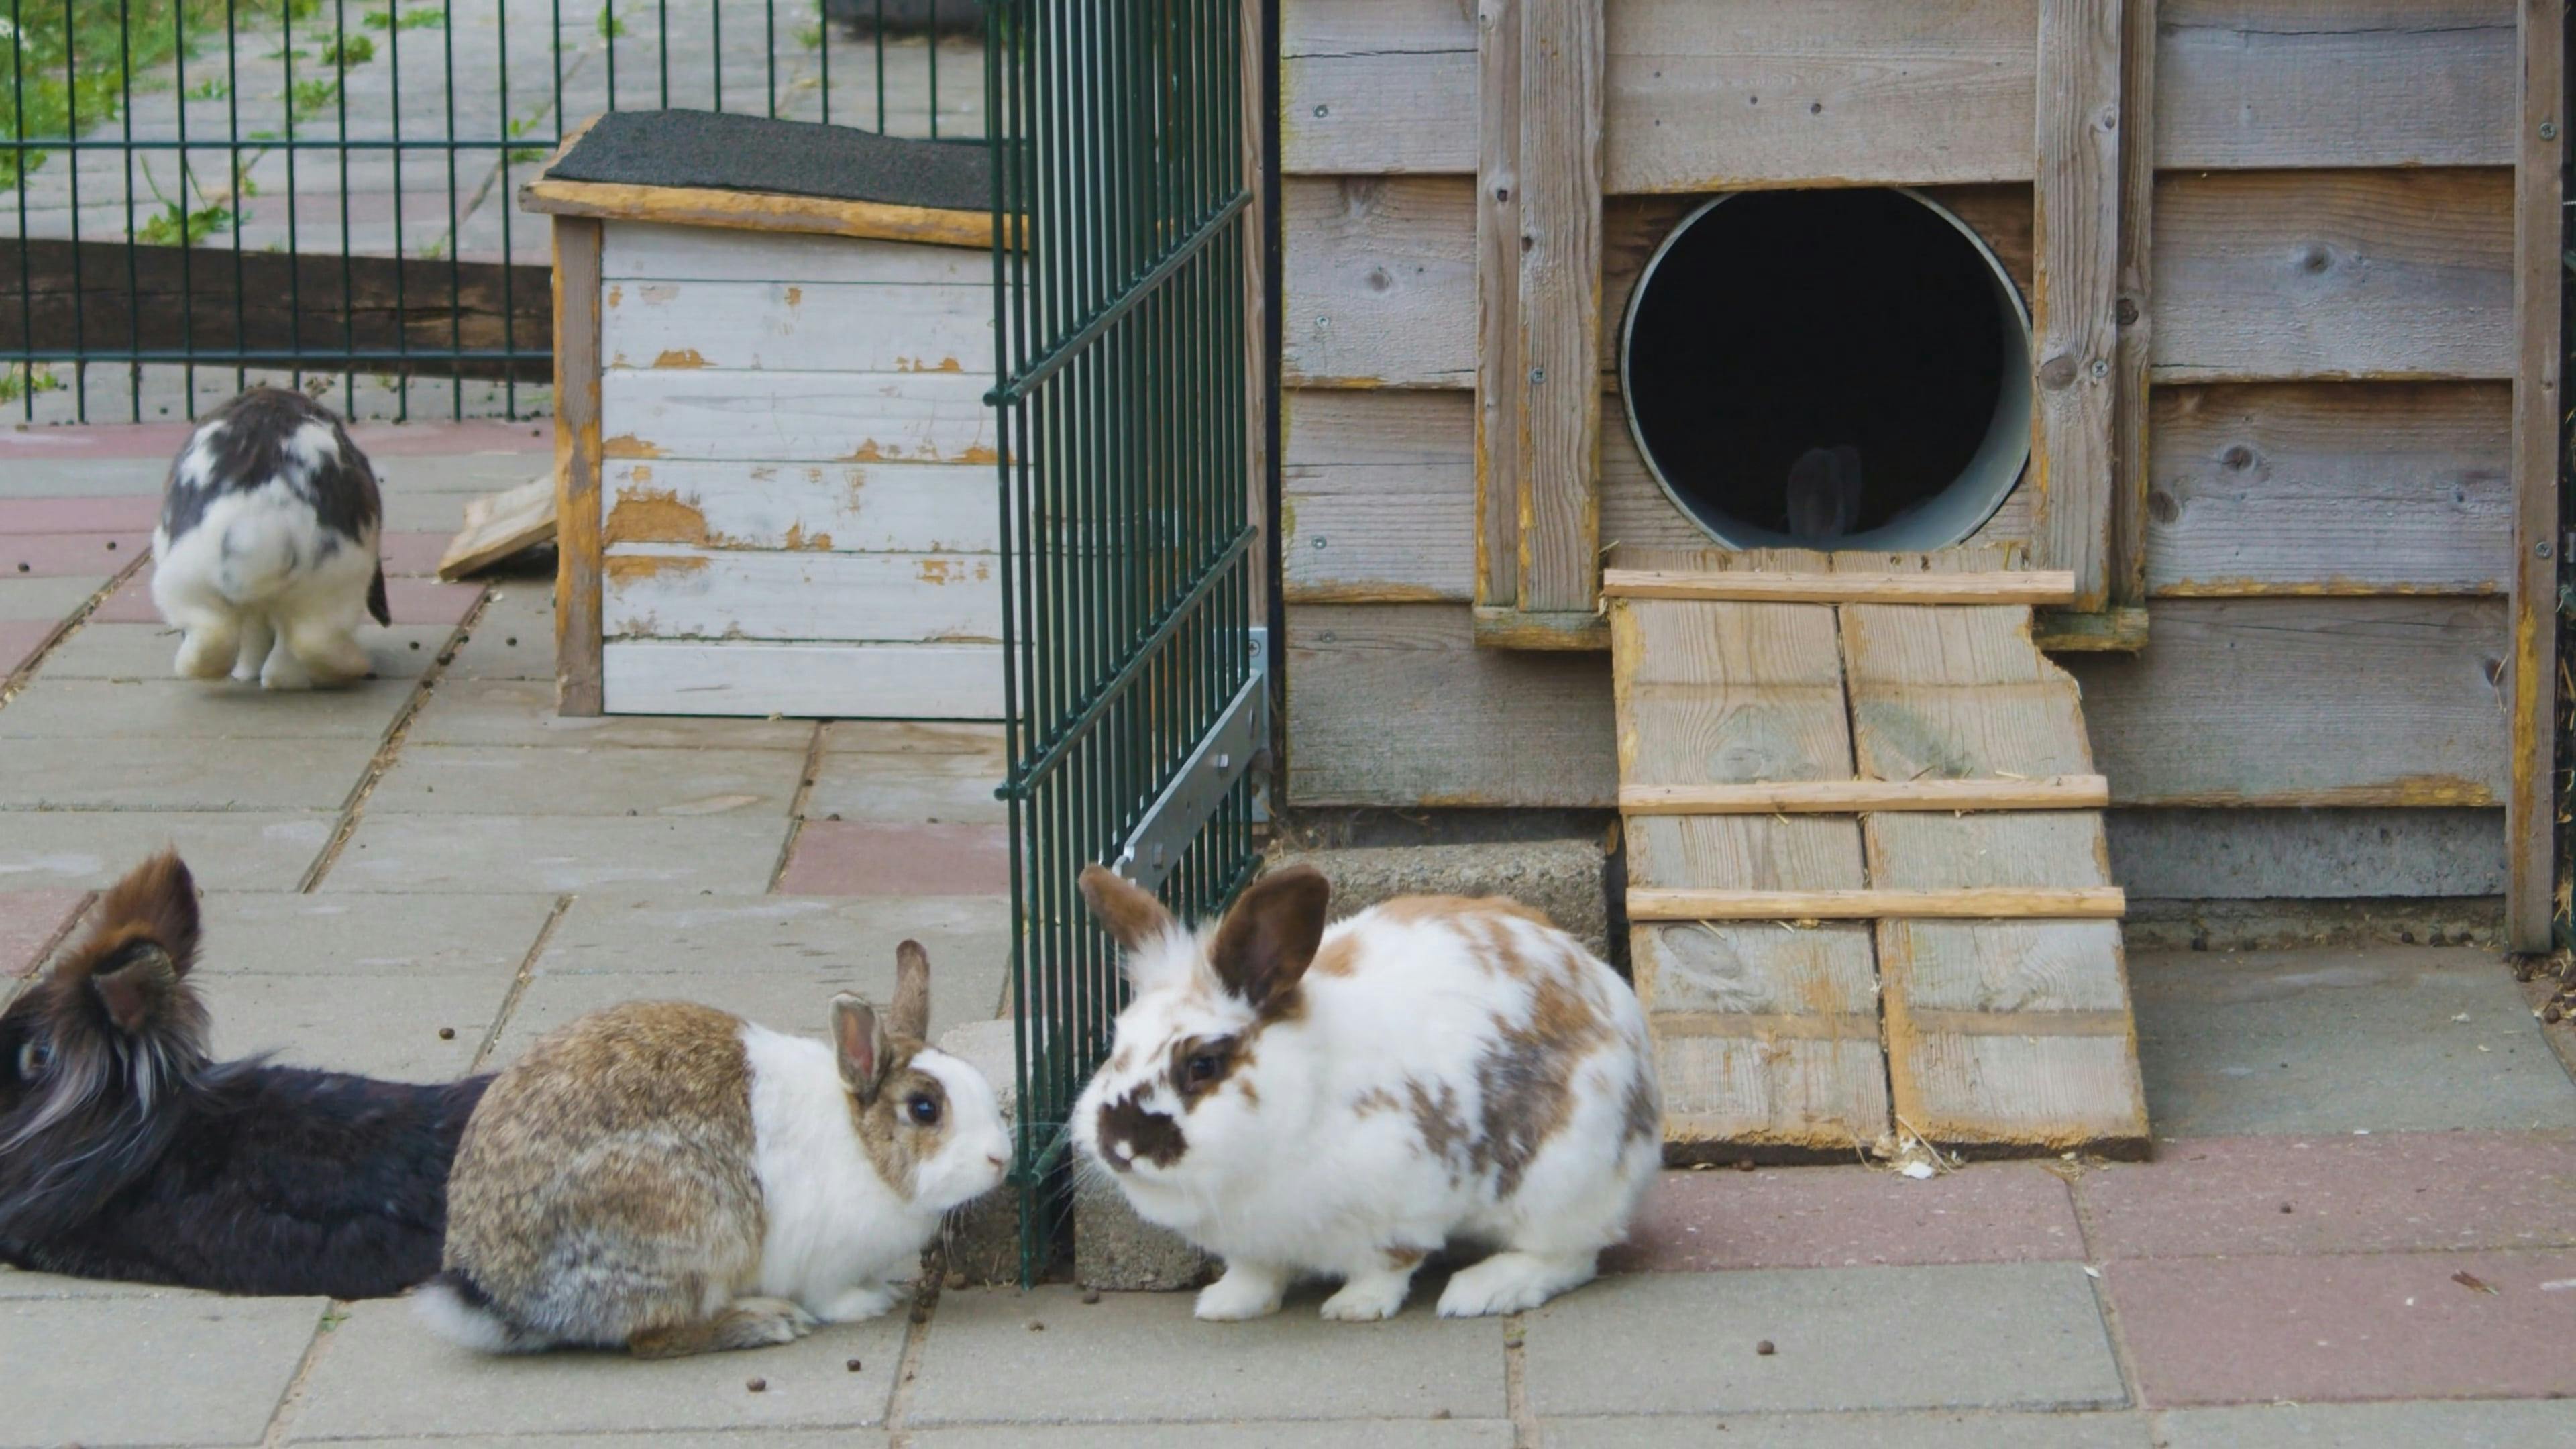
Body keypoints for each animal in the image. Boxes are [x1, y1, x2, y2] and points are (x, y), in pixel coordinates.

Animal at [153, 386, 392, 691]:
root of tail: (261, 516)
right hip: (329, 585)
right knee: (300, 644)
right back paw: (349, 669)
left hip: (190, 581)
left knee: (226, 638)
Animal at [415, 941, 1009, 1358]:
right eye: (924, 1109)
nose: (1001, 1158)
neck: (862, 1144)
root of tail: (492, 1292)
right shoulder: (822, 1262)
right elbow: (831, 1295)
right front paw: (867, 1304)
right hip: (691, 1226)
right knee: (652, 1338)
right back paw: (766, 1322)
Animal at [1069, 863, 1663, 1323]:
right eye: (1116, 1045)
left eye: (1203, 1065)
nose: (1119, 1145)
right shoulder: (1252, 1243)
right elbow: (1257, 1273)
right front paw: (1225, 1304)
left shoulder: (1407, 1198)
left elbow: (1387, 1264)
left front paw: (1354, 1306)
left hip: (1563, 1181)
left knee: (1569, 1257)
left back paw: (1481, 1291)